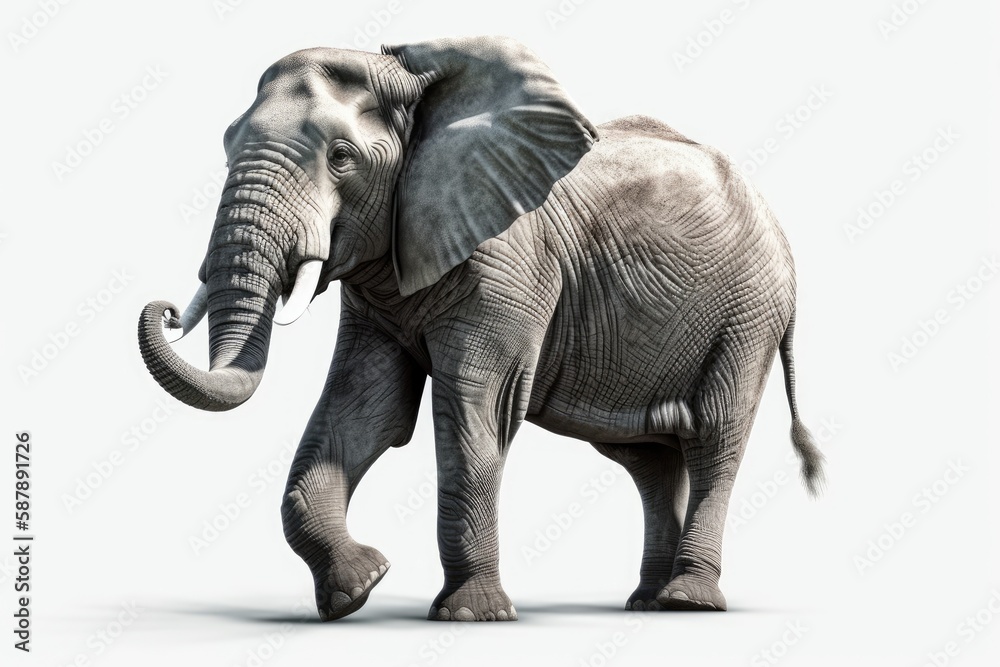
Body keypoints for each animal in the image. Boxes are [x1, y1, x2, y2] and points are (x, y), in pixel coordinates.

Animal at [137, 35, 824, 621]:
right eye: (226, 143)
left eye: (342, 159)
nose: (163, 310)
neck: (417, 89)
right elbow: (364, 408)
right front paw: (358, 589)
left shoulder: (507, 262)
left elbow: (474, 409)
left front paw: (470, 616)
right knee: (648, 458)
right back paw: (647, 602)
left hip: (748, 313)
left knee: (714, 439)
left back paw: (688, 602)